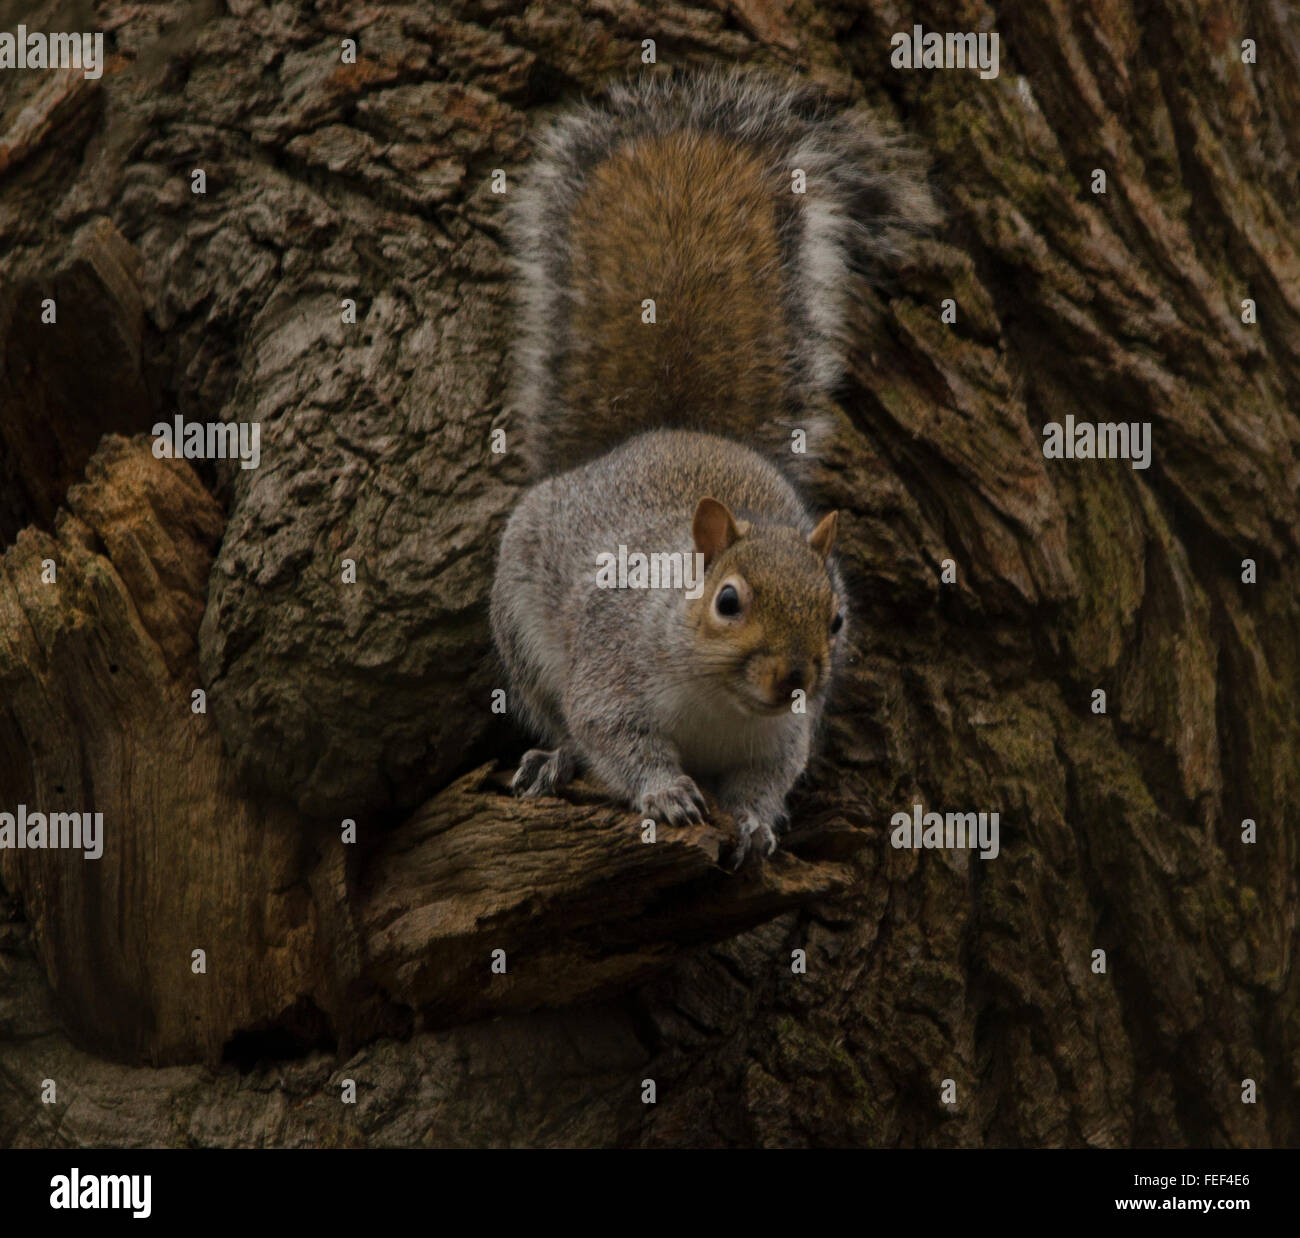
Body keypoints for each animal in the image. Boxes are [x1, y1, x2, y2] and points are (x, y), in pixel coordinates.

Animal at [488, 65, 935, 858]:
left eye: (837, 619)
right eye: (728, 603)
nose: (795, 679)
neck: (720, 702)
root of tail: (671, 429)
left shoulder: (780, 741)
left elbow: (766, 782)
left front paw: (754, 823)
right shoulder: (612, 674)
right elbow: (616, 738)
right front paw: (666, 793)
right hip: (523, 630)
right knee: (561, 717)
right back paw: (556, 758)